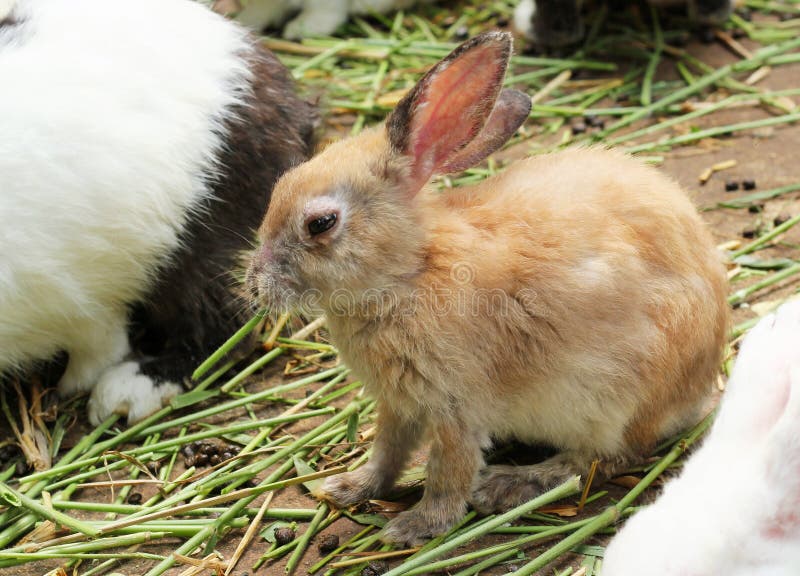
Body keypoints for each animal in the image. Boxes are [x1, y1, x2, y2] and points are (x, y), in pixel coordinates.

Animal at [246, 30, 729, 545]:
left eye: (321, 223)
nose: (254, 284)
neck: (411, 270)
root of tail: (699, 387)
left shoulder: (456, 407)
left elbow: (449, 471)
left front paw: (416, 526)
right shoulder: (398, 405)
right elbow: (387, 453)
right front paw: (347, 488)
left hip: (617, 399)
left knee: (604, 457)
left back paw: (512, 484)